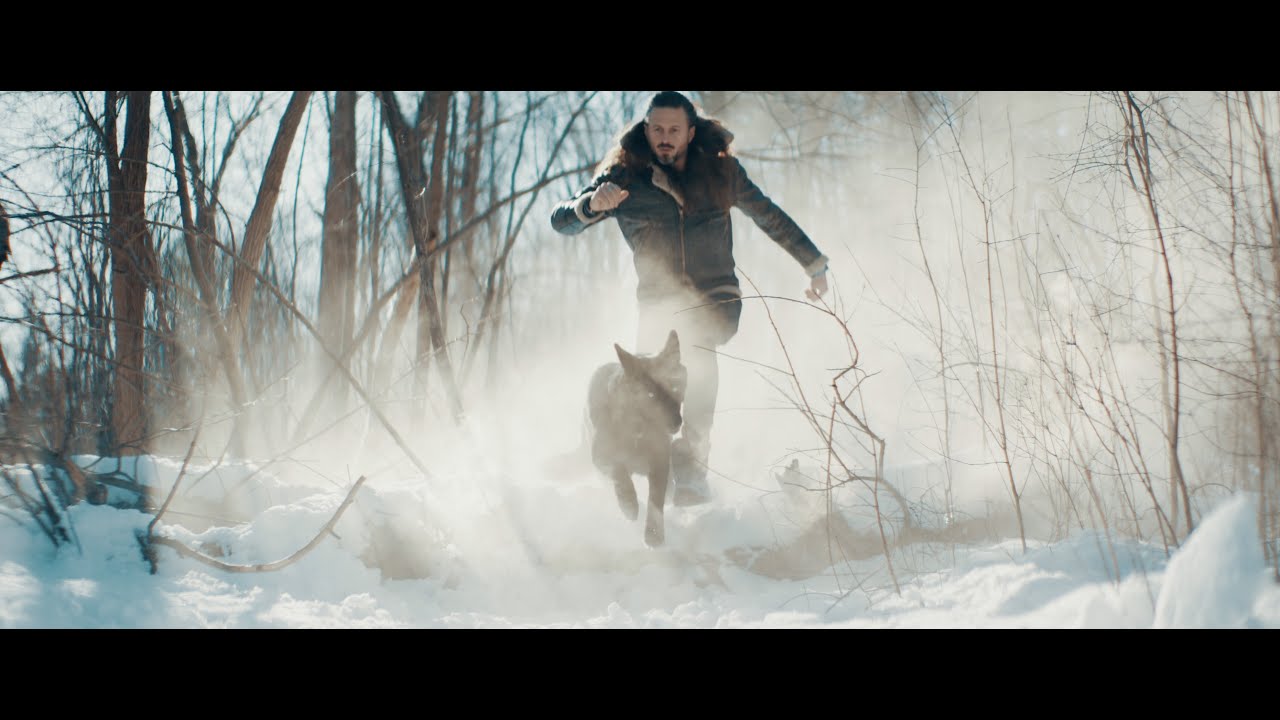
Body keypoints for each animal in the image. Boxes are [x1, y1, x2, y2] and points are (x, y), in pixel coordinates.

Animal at [586, 330, 688, 547]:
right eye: (651, 395)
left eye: (676, 387)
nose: (677, 421)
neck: (637, 431)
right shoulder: (601, 457)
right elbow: (618, 471)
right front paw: (629, 504)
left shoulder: (660, 460)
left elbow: (656, 498)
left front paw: (654, 534)